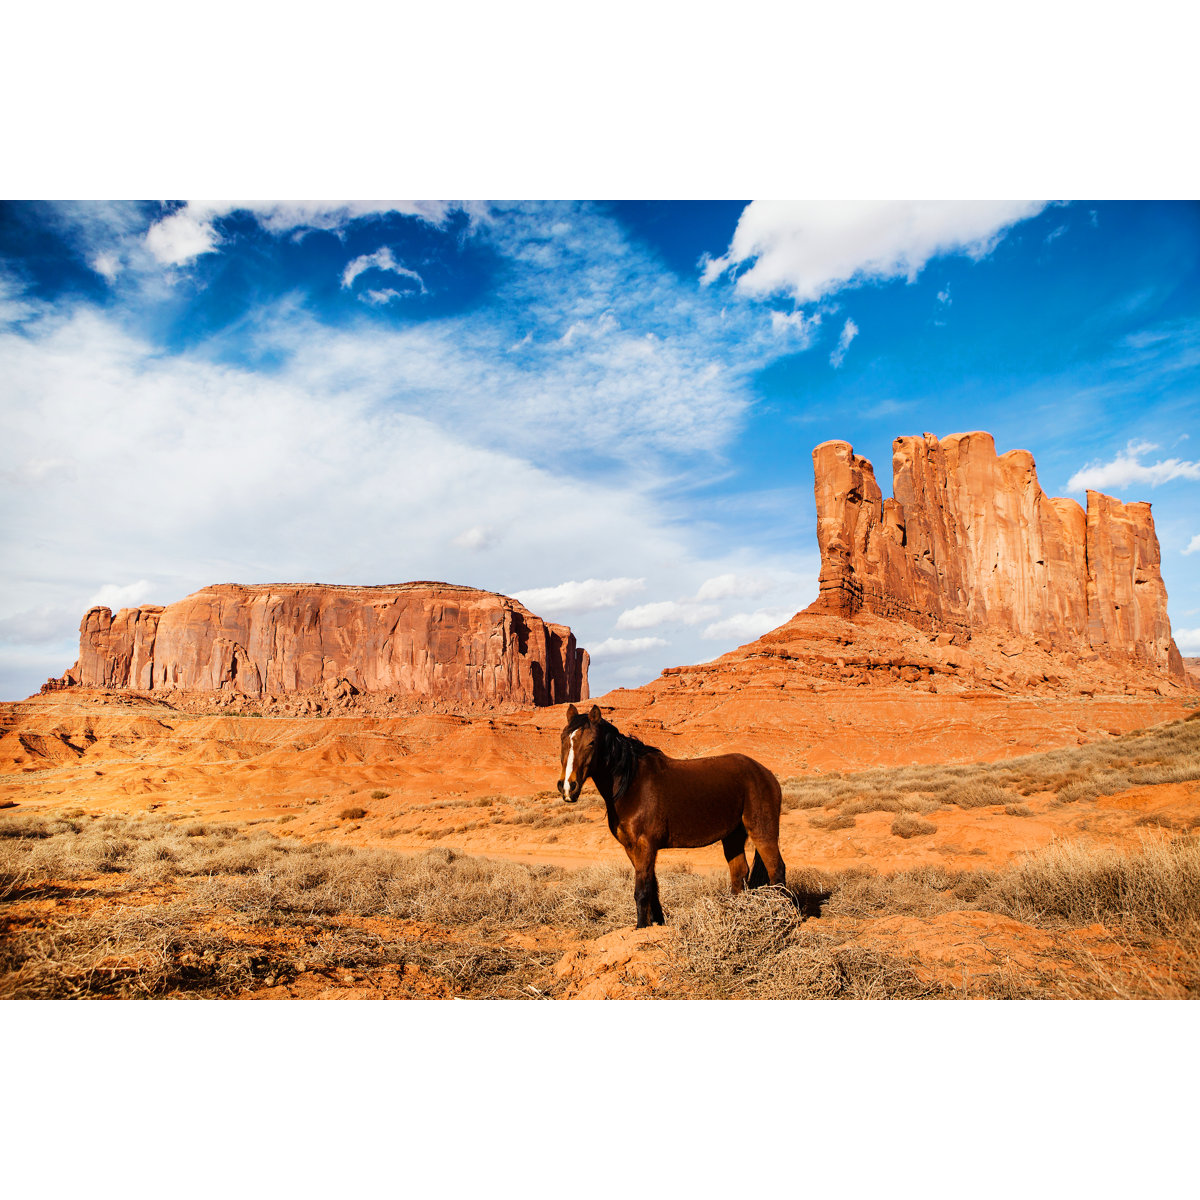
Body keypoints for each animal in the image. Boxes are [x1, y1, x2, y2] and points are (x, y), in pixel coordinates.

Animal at [556, 703, 788, 928]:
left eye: (592, 742)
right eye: (563, 740)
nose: (568, 787)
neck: (632, 785)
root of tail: (765, 773)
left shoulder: (645, 846)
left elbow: (642, 891)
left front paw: (641, 927)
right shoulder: (632, 848)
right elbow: (652, 889)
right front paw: (657, 922)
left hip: (762, 832)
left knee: (776, 870)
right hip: (733, 835)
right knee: (739, 873)